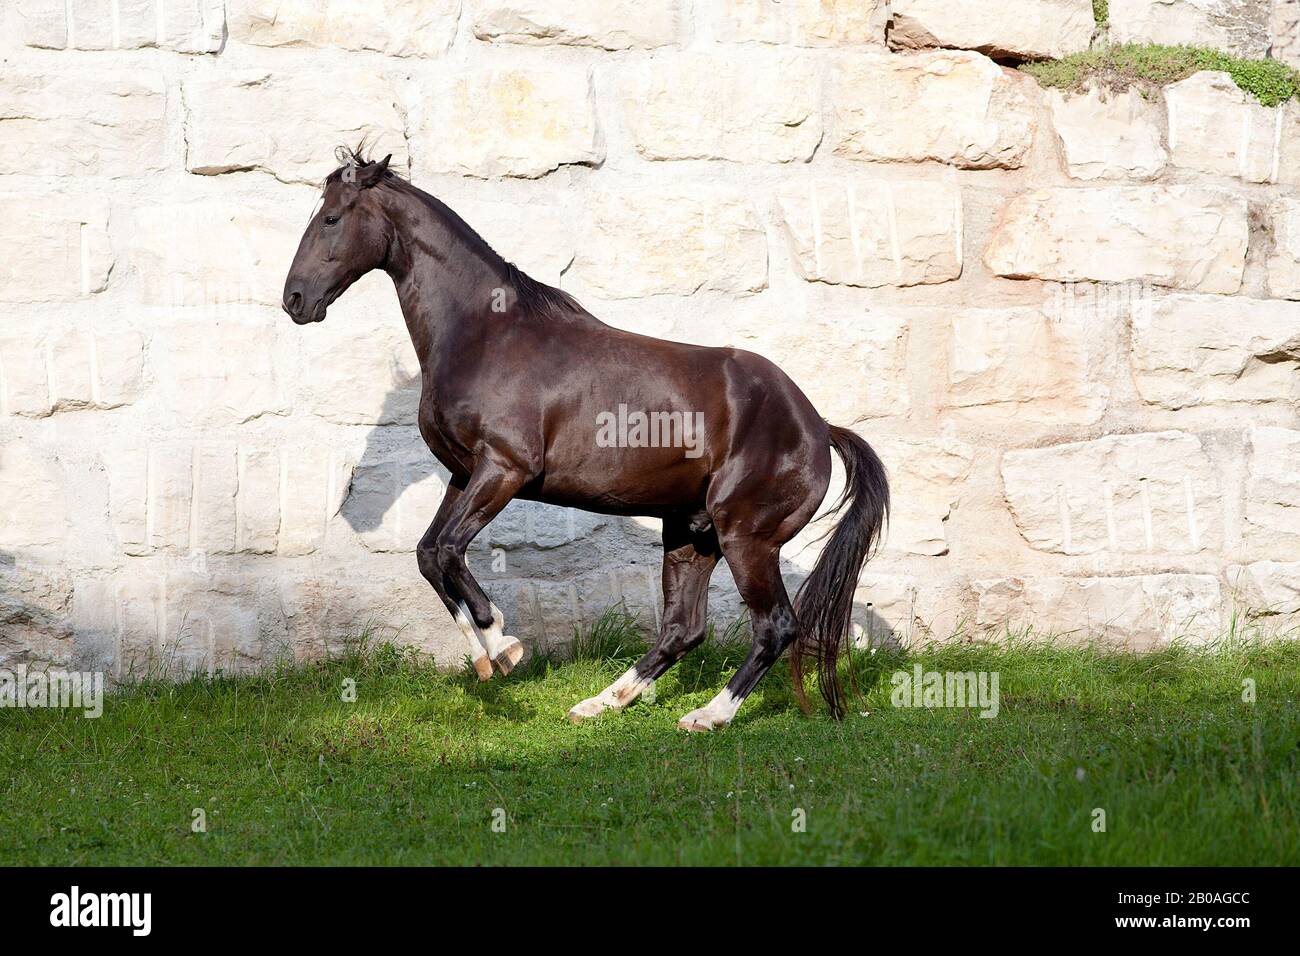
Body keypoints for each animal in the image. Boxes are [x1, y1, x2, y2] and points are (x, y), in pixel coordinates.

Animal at [282, 149, 889, 731]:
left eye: (332, 218)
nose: (294, 300)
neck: (486, 333)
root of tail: (817, 427)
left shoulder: (504, 470)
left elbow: (450, 550)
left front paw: (504, 643)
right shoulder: (465, 473)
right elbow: (430, 554)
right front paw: (484, 657)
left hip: (746, 539)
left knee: (774, 627)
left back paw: (707, 716)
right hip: (692, 536)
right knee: (683, 629)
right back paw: (600, 704)